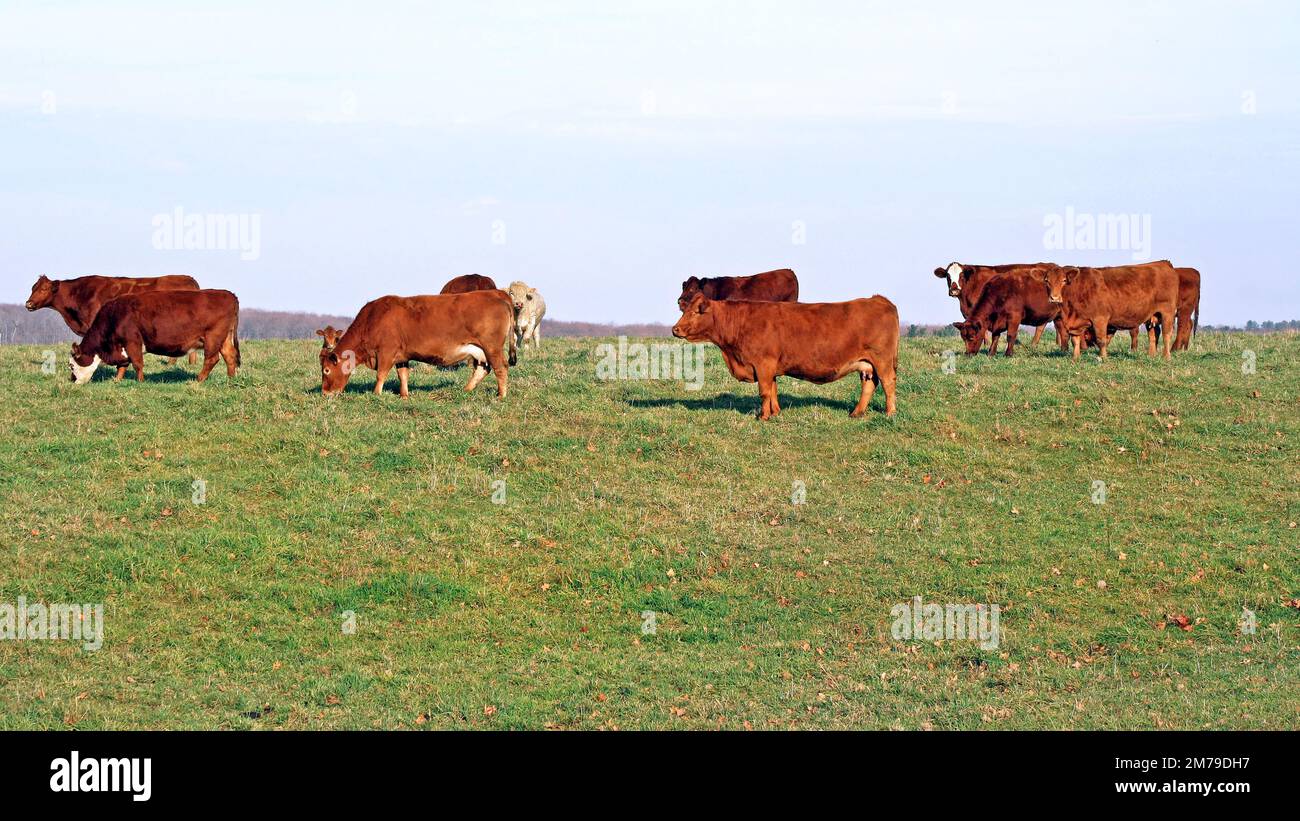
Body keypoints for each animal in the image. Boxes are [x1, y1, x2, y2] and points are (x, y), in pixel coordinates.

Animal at [68, 289, 240, 384]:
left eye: (71, 365)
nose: (72, 380)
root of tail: (229, 294)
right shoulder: (124, 346)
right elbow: (122, 365)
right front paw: (117, 380)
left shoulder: (132, 341)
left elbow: (137, 363)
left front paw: (140, 381)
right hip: (224, 338)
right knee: (230, 356)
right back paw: (230, 379)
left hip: (213, 337)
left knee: (212, 359)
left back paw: (199, 379)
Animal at [318, 290, 517, 398]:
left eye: (326, 370)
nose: (325, 393)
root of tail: (496, 293)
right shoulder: (401, 356)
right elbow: (403, 375)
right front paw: (404, 395)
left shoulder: (386, 352)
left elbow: (381, 375)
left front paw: (376, 394)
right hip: (480, 350)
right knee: (483, 369)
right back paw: (466, 390)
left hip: (492, 347)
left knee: (501, 368)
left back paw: (501, 395)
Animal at [671, 294, 898, 418]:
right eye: (685, 310)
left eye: (696, 312)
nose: (675, 329)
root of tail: (878, 299)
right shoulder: (769, 368)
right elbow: (773, 389)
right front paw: (775, 413)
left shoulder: (763, 364)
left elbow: (764, 391)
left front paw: (763, 417)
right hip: (866, 364)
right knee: (869, 385)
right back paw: (856, 413)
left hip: (882, 360)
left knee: (888, 384)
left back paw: (890, 413)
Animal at [1041, 261, 1179, 360]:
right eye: (1047, 281)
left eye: (1064, 280)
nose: (1054, 298)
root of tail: (1163, 263)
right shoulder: (1076, 322)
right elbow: (1075, 340)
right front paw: (1075, 358)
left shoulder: (1100, 318)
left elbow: (1101, 340)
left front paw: (1103, 358)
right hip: (1151, 316)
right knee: (1153, 333)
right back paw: (1151, 356)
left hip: (1167, 313)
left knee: (1167, 334)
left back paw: (1166, 357)